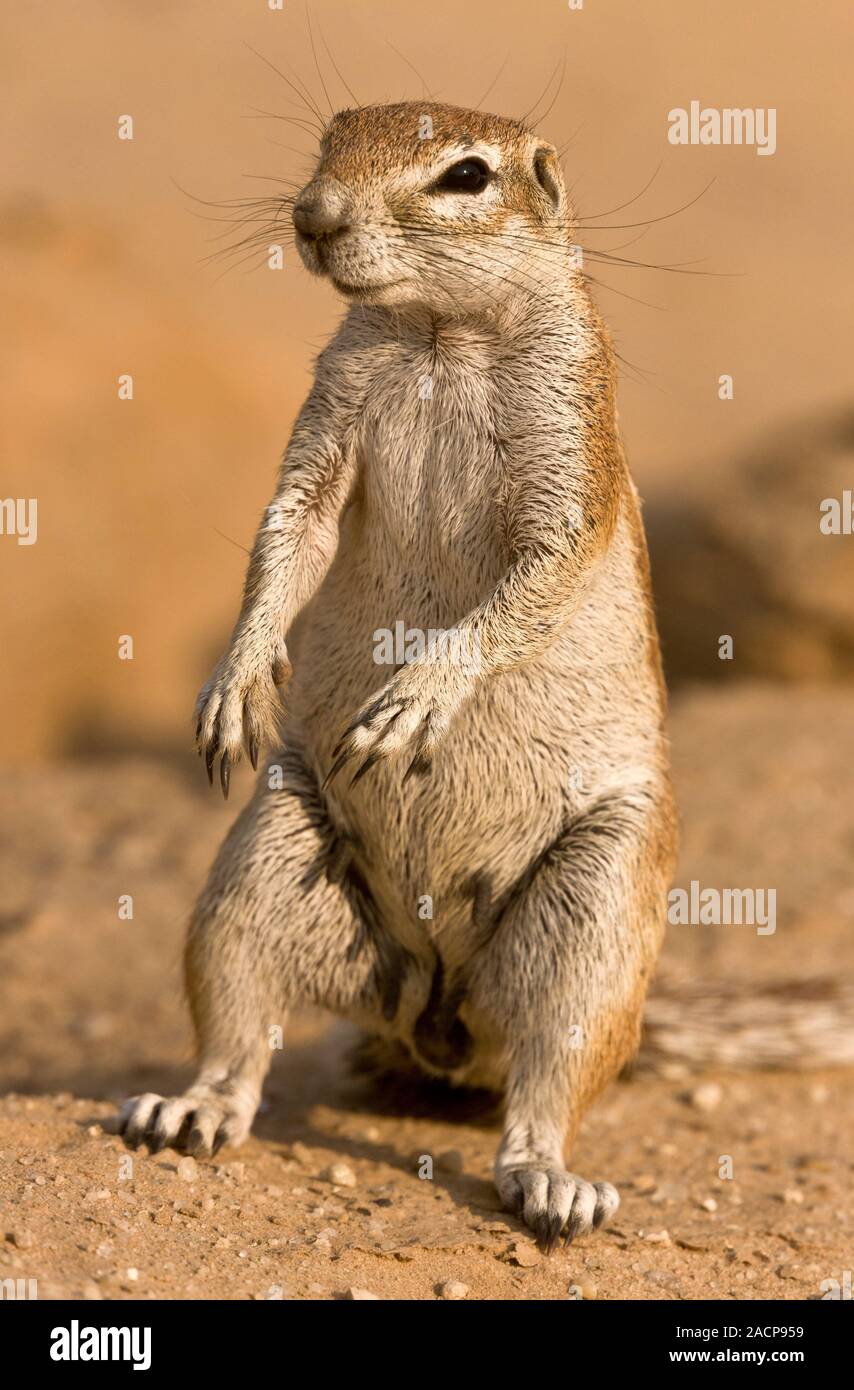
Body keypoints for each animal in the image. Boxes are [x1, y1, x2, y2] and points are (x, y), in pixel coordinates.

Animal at [118, 99, 681, 1252]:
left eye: (466, 175)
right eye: (330, 139)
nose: (311, 215)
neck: (437, 334)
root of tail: (436, 1011)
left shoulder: (573, 434)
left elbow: (536, 575)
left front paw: (417, 698)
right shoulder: (328, 414)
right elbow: (289, 529)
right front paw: (235, 682)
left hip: (596, 917)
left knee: (552, 1073)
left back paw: (551, 1181)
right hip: (267, 862)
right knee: (239, 1029)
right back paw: (189, 1109)